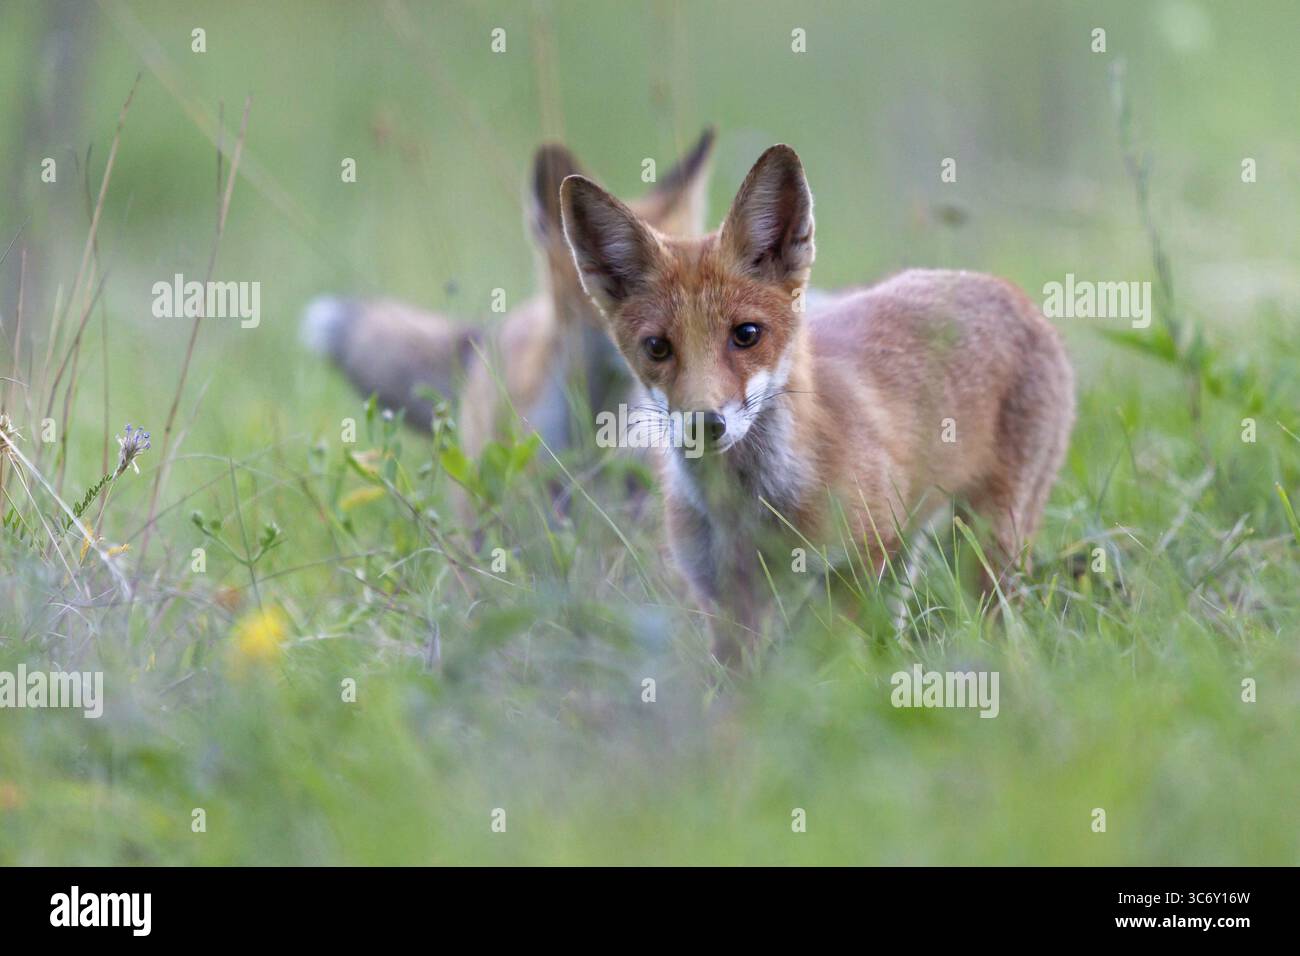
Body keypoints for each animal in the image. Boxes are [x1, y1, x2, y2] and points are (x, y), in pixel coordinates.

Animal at [559, 144, 1075, 658]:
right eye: (657, 347)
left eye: (746, 334)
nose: (704, 424)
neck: (748, 512)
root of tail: (1005, 289)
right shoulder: (724, 600)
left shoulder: (856, 566)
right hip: (907, 549)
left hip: (988, 543)